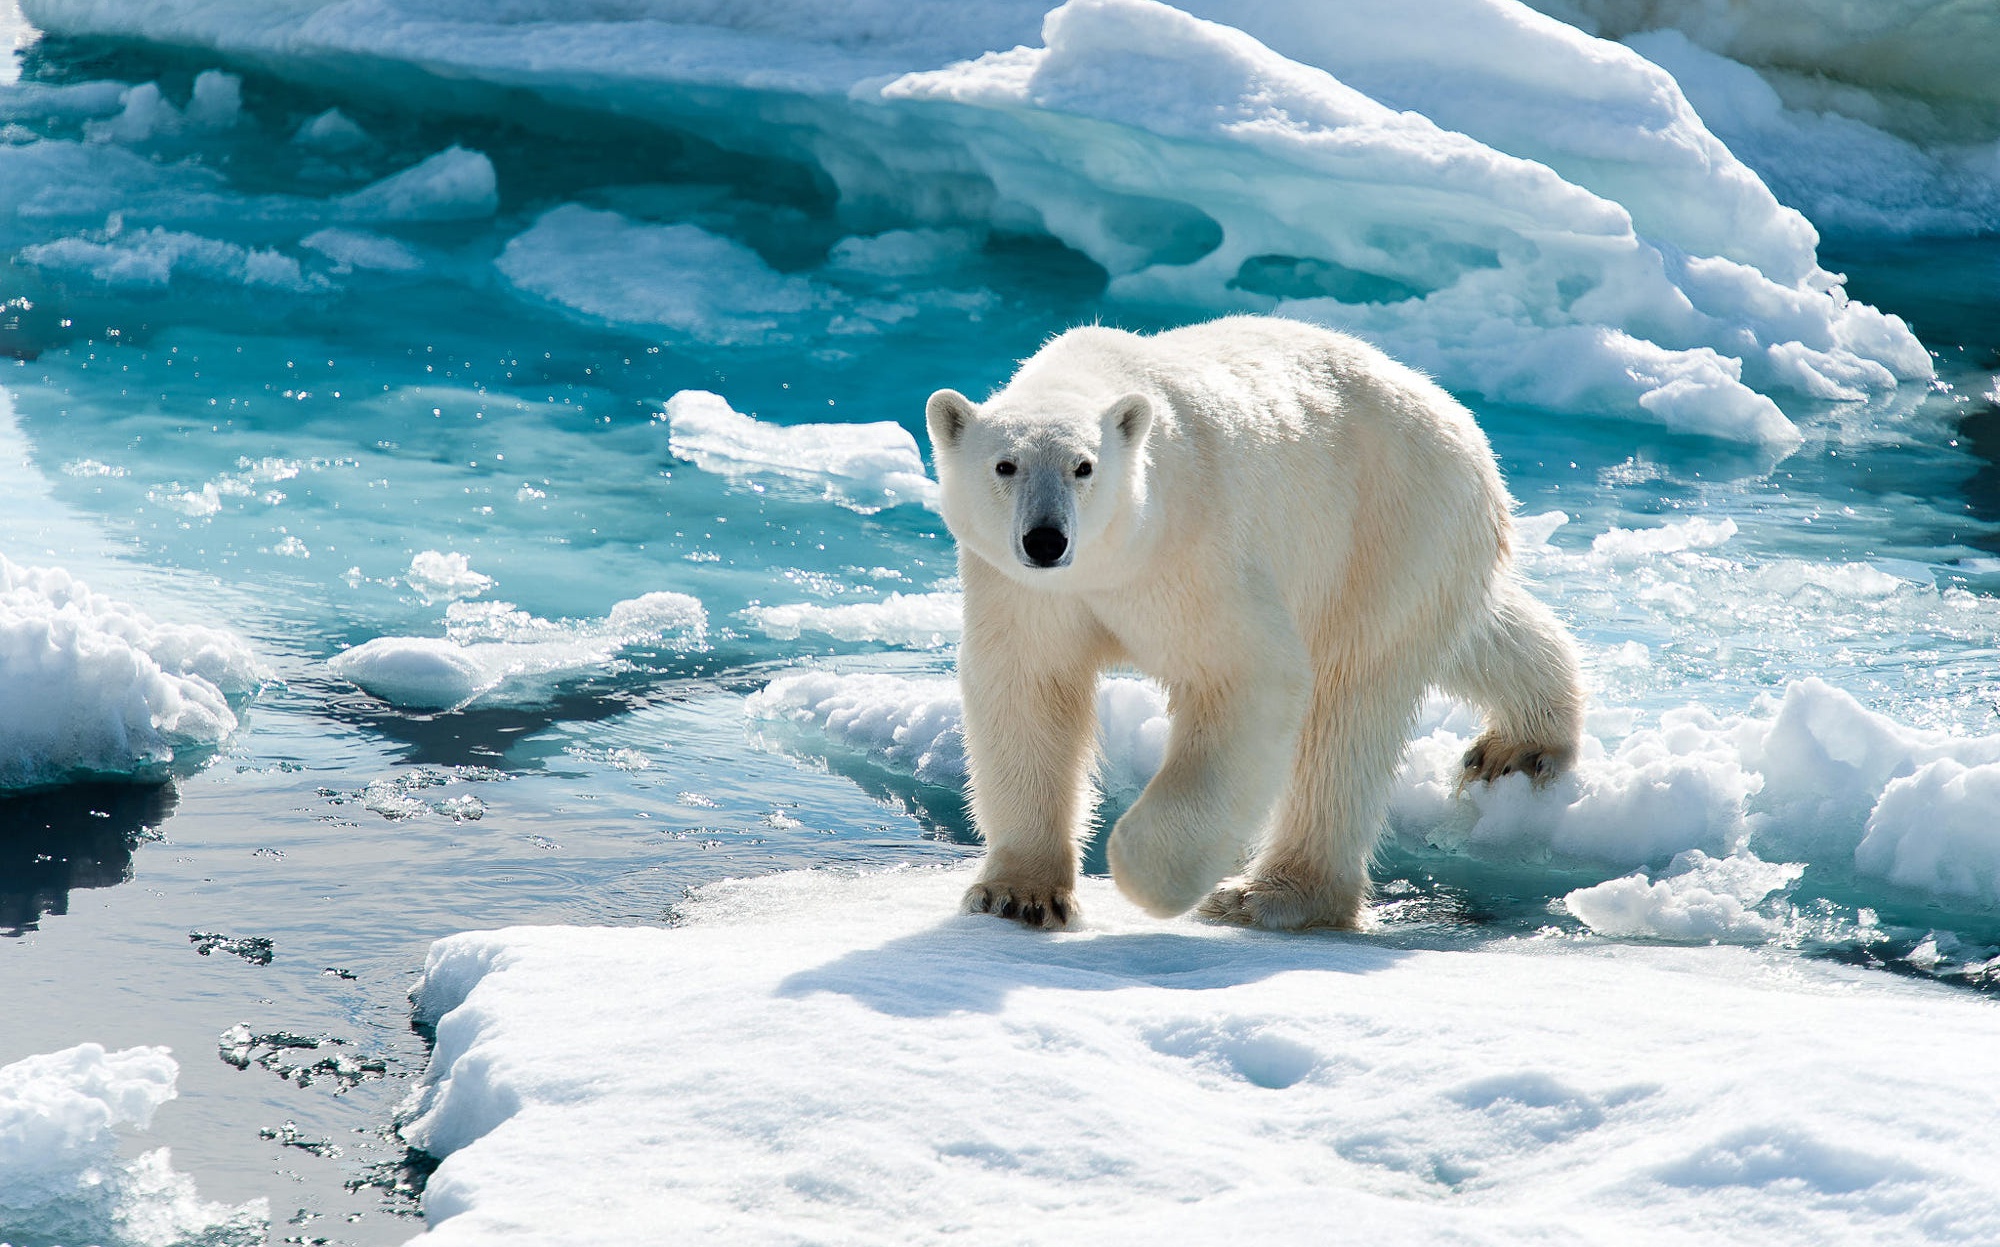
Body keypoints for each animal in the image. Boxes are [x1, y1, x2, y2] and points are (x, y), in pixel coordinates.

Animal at [925, 315, 1583, 931]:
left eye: (1083, 467)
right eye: (1005, 465)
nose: (1045, 539)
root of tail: (1456, 415)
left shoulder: (1192, 551)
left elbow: (1247, 676)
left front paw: (1147, 876)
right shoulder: (1023, 589)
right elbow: (1028, 688)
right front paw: (1018, 894)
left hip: (1384, 527)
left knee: (1348, 709)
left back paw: (1265, 896)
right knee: (1476, 631)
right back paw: (1518, 744)